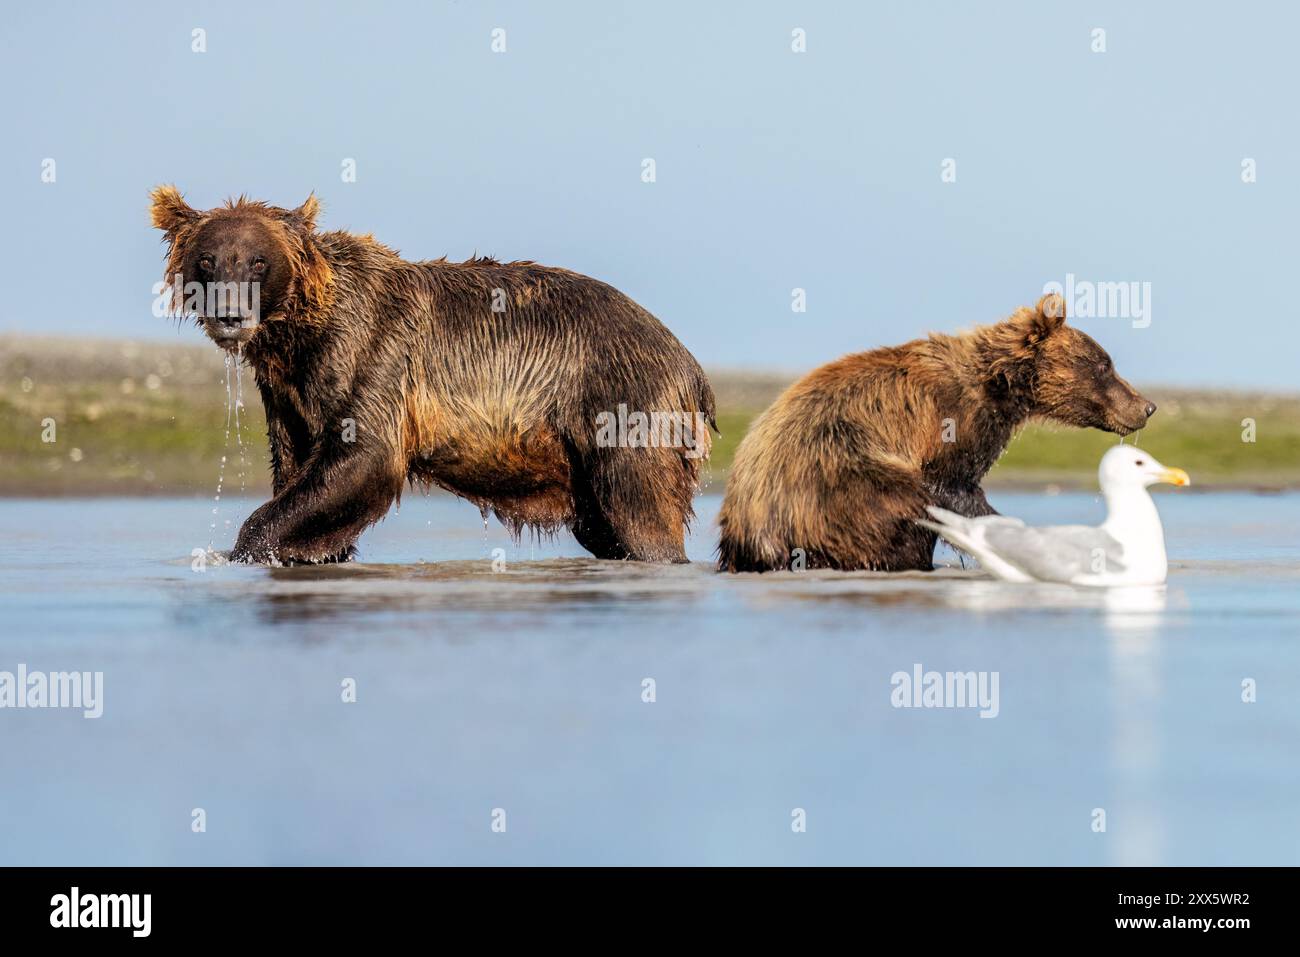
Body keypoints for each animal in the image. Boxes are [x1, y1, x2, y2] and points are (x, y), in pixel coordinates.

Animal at [150, 186, 715, 564]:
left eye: (258, 262)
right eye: (208, 259)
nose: (229, 315)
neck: (301, 333)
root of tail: (691, 365)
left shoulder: (371, 352)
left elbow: (364, 456)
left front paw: (247, 547)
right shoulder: (288, 390)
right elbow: (297, 465)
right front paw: (315, 551)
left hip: (620, 400)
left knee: (638, 506)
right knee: (603, 525)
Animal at [716, 293, 1156, 572]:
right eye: (1104, 365)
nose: (1146, 406)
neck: (1000, 386)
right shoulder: (948, 426)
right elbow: (954, 489)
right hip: (841, 484)